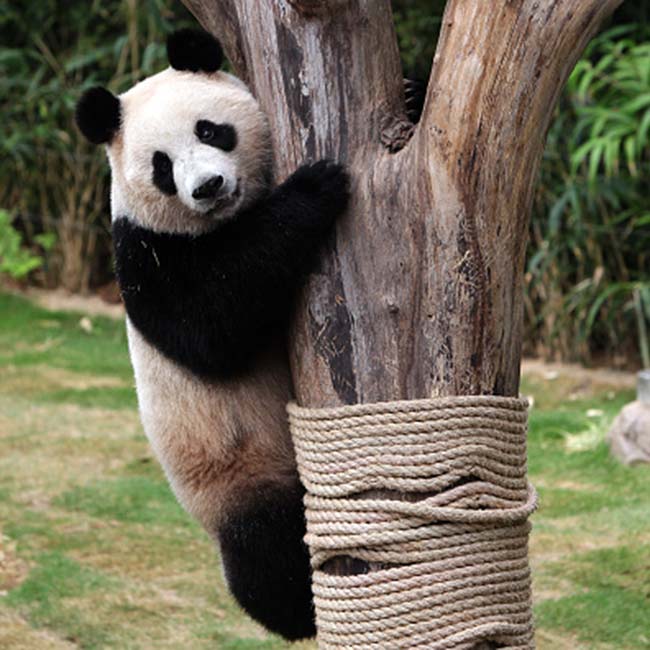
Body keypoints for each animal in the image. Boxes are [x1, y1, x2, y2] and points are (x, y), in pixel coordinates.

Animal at [75, 28, 350, 640]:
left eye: (208, 129)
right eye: (160, 165)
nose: (207, 186)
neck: (227, 221)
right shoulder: (144, 250)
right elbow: (211, 328)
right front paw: (316, 186)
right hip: (240, 478)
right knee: (264, 553)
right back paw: (299, 610)